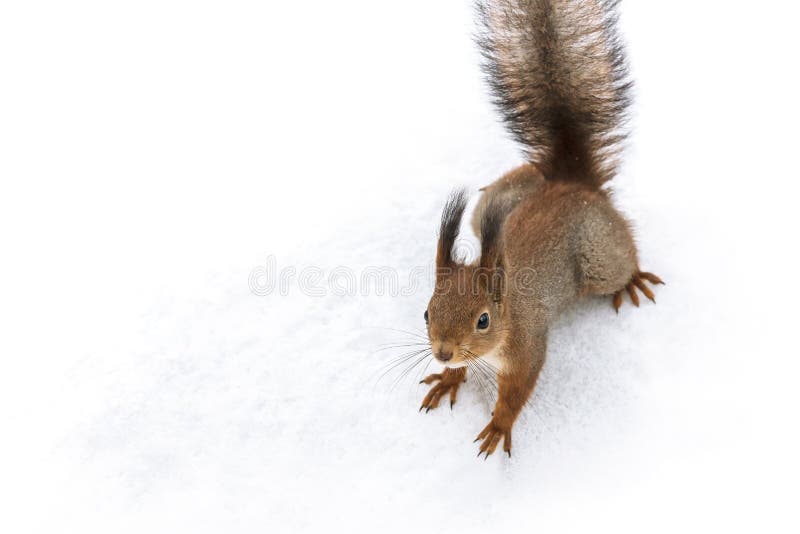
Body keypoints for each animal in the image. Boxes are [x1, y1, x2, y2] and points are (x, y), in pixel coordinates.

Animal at [417, 0, 663, 458]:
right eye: (427, 312)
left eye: (482, 320)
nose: (442, 353)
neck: (507, 308)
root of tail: (570, 184)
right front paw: (448, 379)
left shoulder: (528, 346)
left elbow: (517, 392)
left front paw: (498, 426)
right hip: (491, 205)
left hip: (599, 254)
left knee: (621, 257)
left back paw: (632, 280)